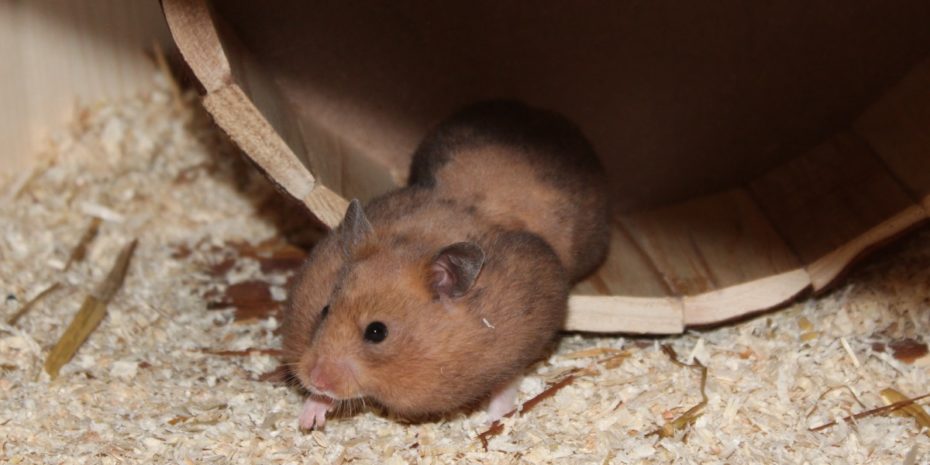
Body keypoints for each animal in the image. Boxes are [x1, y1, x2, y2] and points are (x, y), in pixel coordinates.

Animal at [282, 101, 610, 429]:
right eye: (325, 310)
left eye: (377, 332)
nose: (315, 378)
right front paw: (308, 419)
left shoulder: (522, 340)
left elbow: (508, 380)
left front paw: (494, 419)